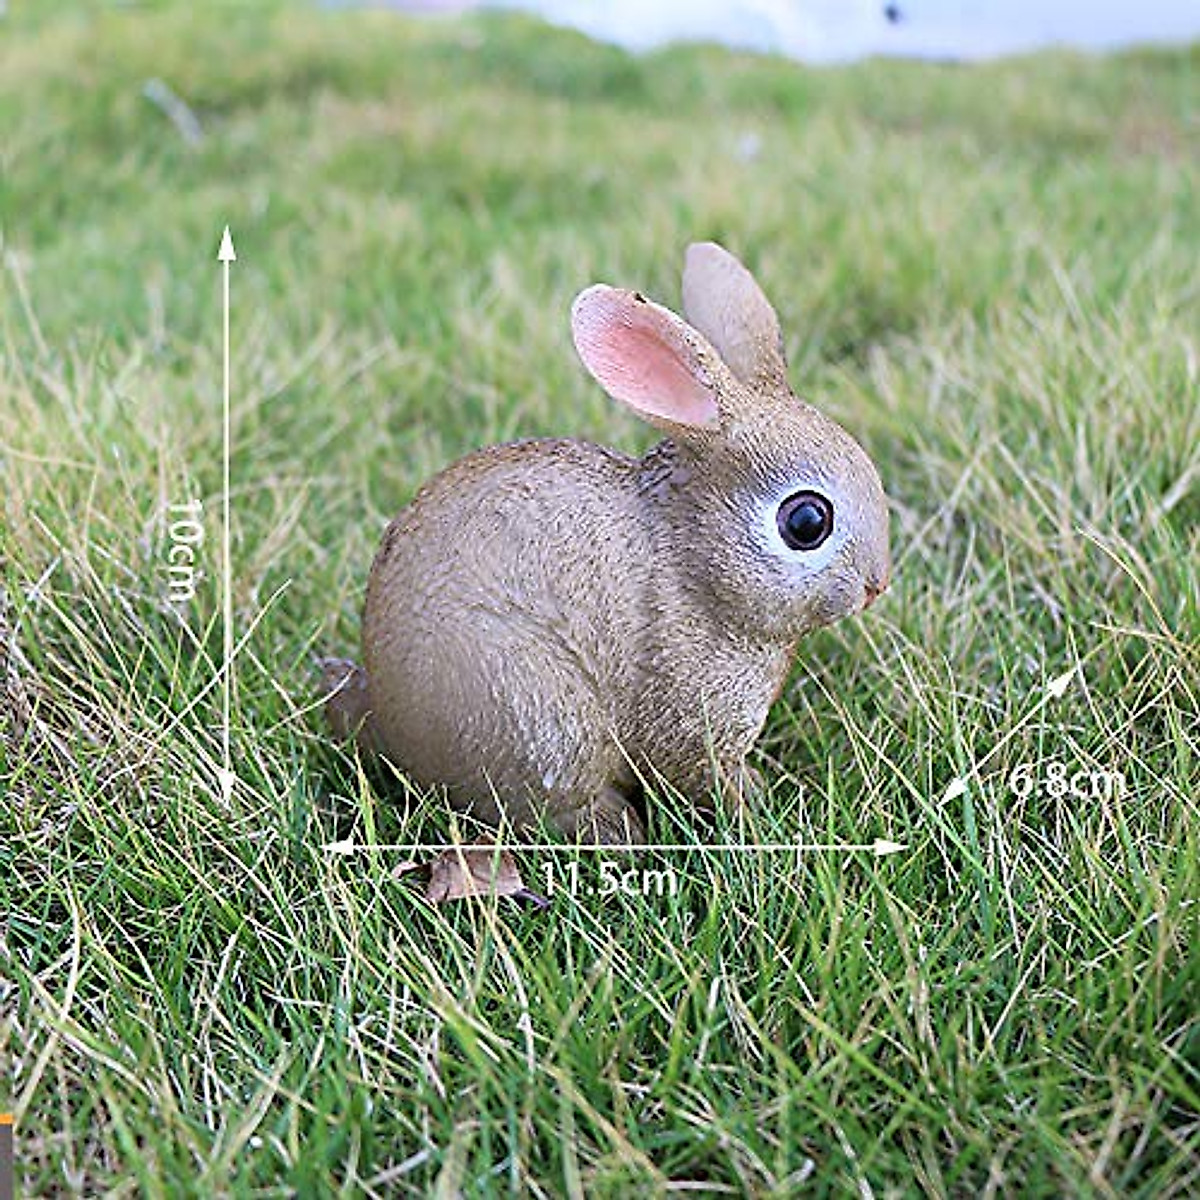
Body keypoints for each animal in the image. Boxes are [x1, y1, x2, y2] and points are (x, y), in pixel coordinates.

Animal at [324, 242, 891, 845]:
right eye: (806, 522)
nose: (876, 584)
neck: (695, 561)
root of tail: (391, 721)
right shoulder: (685, 718)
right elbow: (702, 777)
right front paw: (754, 817)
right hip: (540, 712)